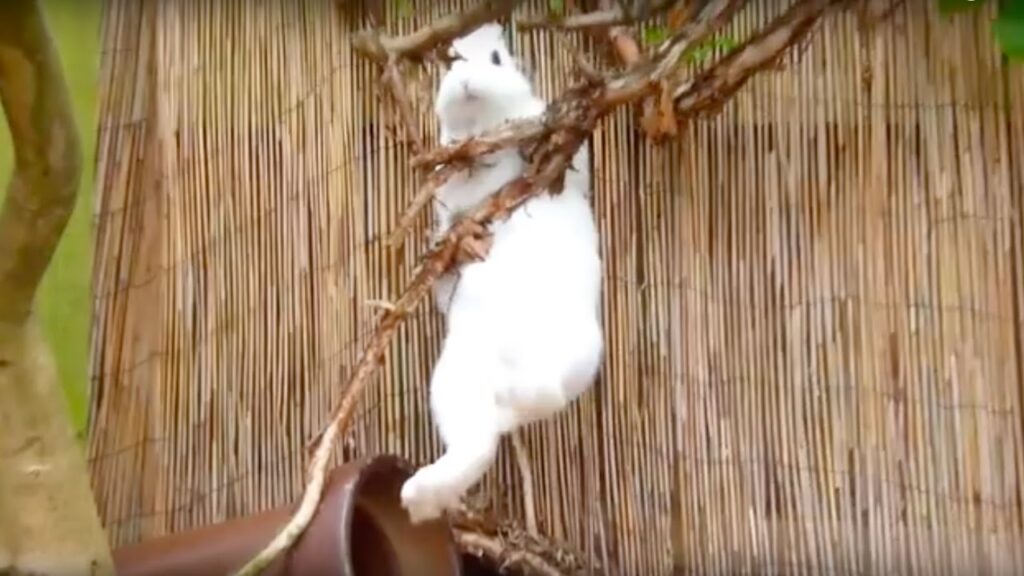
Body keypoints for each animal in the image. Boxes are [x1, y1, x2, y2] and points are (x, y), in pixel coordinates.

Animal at [401, 22, 603, 525]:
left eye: (496, 58)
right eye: (451, 60)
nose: (468, 82)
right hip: (457, 380)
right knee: (478, 446)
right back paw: (419, 497)